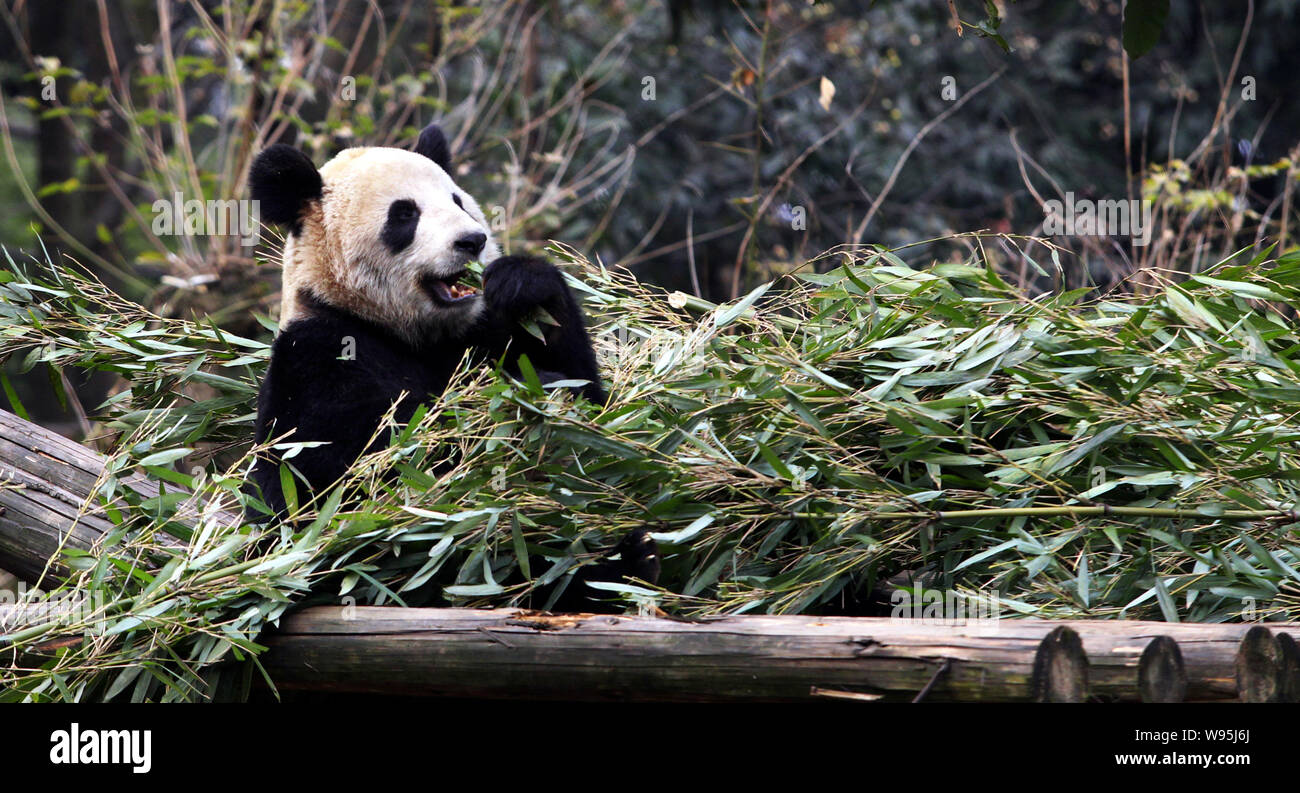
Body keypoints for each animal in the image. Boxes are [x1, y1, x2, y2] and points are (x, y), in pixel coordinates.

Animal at [246, 122, 658, 611]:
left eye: (458, 200)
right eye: (404, 215)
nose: (472, 241)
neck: (399, 329)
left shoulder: (478, 331)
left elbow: (596, 404)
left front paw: (524, 286)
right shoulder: (319, 359)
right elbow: (363, 482)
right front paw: (520, 405)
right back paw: (613, 568)